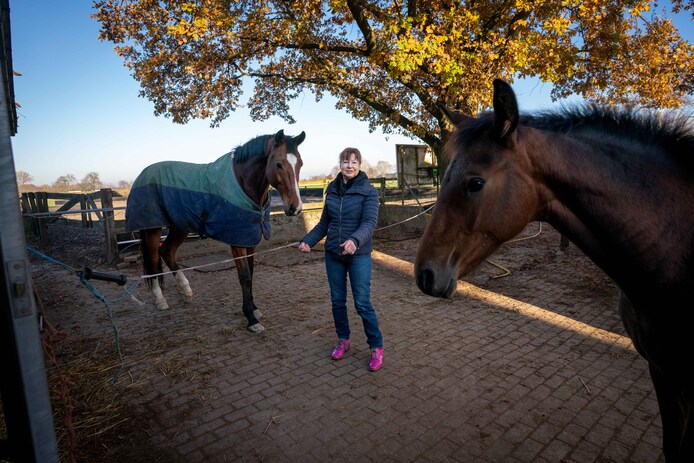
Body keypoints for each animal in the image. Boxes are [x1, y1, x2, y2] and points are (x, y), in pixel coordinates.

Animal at [126, 130, 306, 333]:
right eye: (278, 164)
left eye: (300, 163)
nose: (295, 207)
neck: (242, 184)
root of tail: (142, 175)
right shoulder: (237, 242)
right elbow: (244, 277)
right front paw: (251, 318)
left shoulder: (249, 239)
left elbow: (251, 273)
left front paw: (254, 308)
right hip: (153, 229)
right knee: (154, 258)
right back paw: (160, 299)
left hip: (179, 226)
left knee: (167, 252)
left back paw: (186, 291)